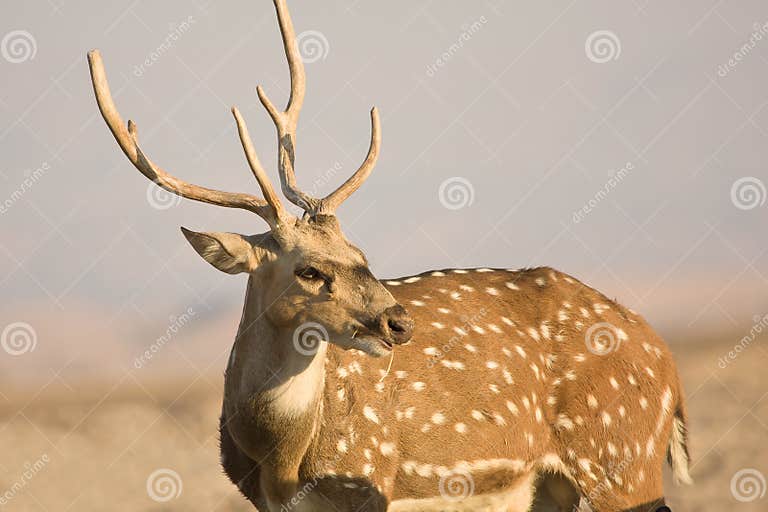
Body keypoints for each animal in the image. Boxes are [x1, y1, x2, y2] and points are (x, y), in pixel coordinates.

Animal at [87, 1, 692, 511]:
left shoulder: (370, 476)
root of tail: (666, 361)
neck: (281, 460)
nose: (399, 321)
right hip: (555, 484)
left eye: (360, 251)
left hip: (620, 458)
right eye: (309, 269)